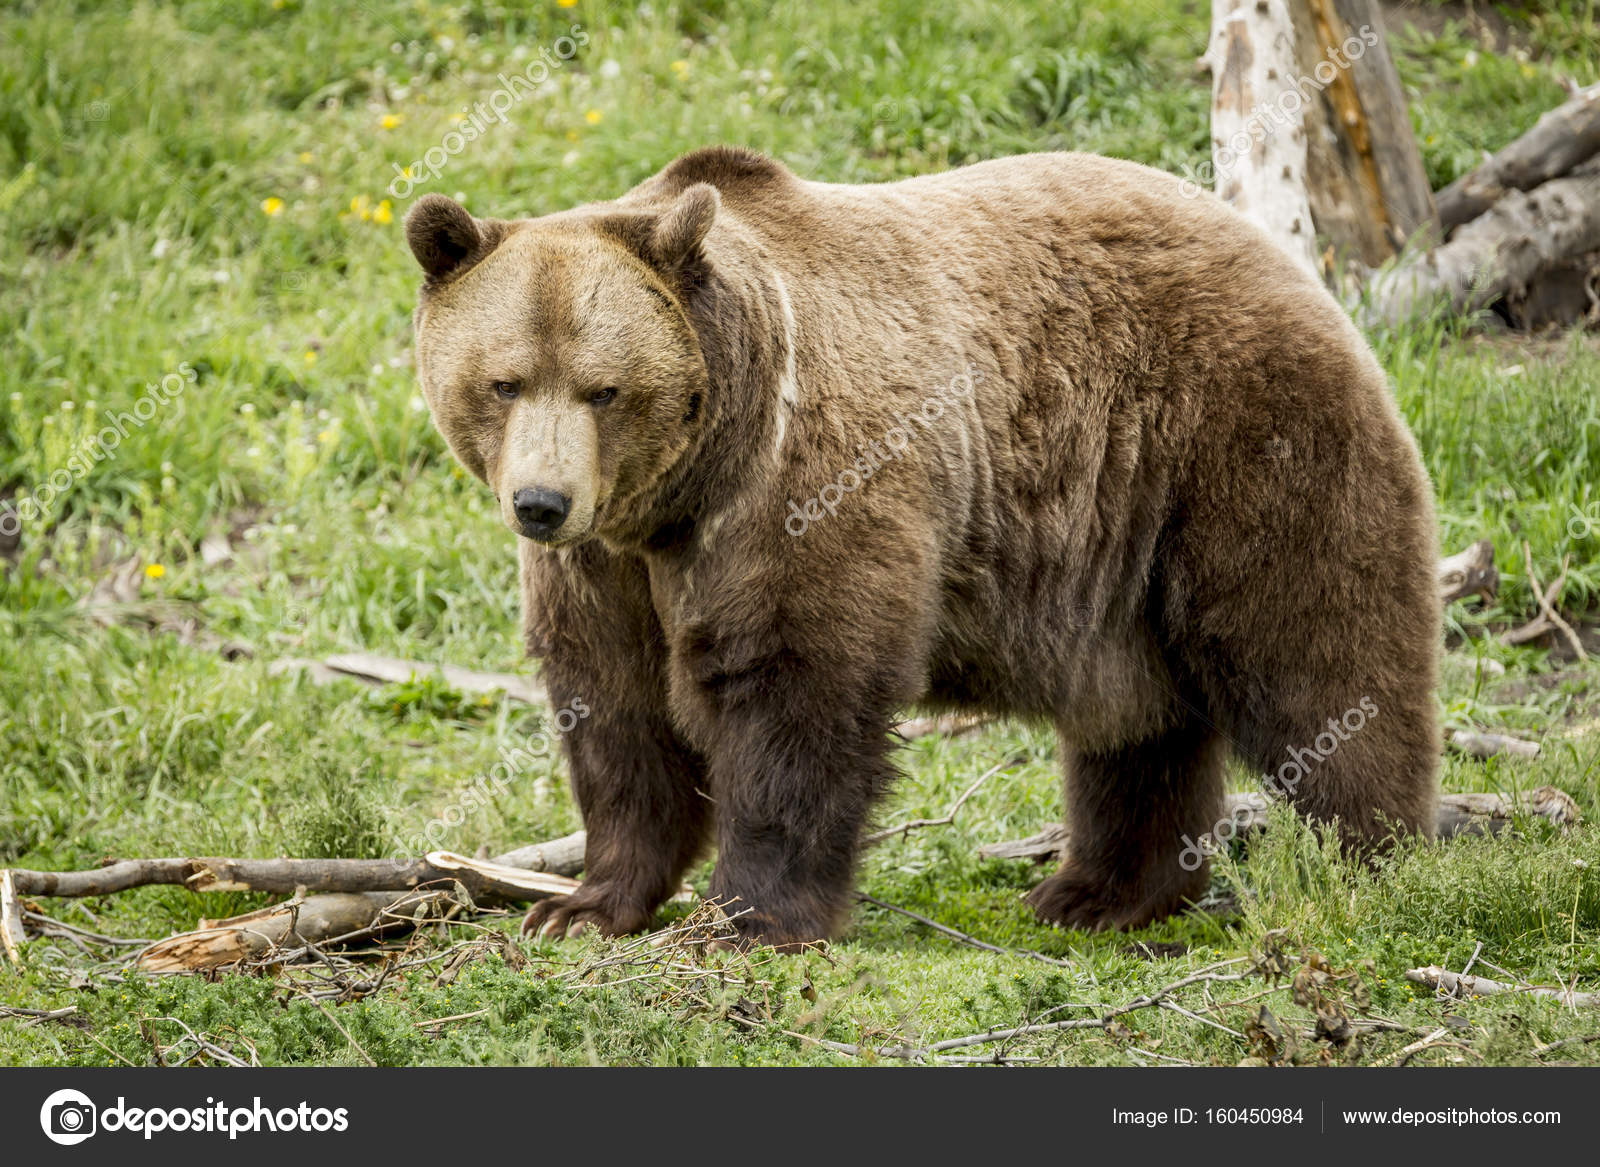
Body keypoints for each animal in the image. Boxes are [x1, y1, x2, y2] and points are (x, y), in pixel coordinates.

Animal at [404, 146, 1440, 951]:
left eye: (604, 388)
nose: (542, 503)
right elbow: (617, 709)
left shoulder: (801, 489)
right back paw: (1097, 892)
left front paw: (753, 913)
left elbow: (795, 683)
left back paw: (1376, 860)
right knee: (1138, 722)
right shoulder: (606, 567)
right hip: (1121, 549)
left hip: (1235, 439)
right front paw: (581, 905)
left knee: (1318, 651)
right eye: (504, 381)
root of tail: (1290, 264)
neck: (682, 492)